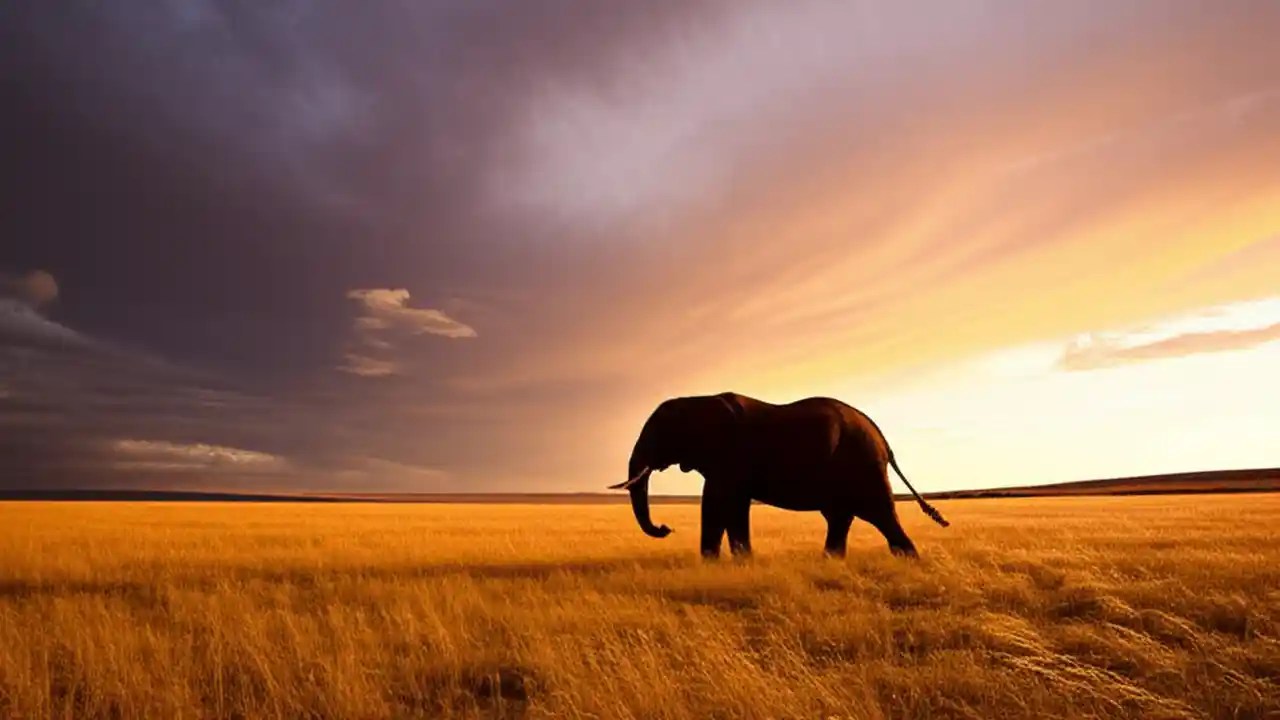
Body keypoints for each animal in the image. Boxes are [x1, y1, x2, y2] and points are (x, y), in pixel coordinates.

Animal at [609, 392, 949, 558]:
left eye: (657, 435)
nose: (666, 528)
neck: (697, 400)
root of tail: (882, 438)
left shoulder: (731, 456)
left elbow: (719, 502)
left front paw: (722, 563)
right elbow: (729, 506)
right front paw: (738, 563)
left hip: (862, 464)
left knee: (879, 514)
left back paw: (909, 559)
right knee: (842, 516)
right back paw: (830, 562)